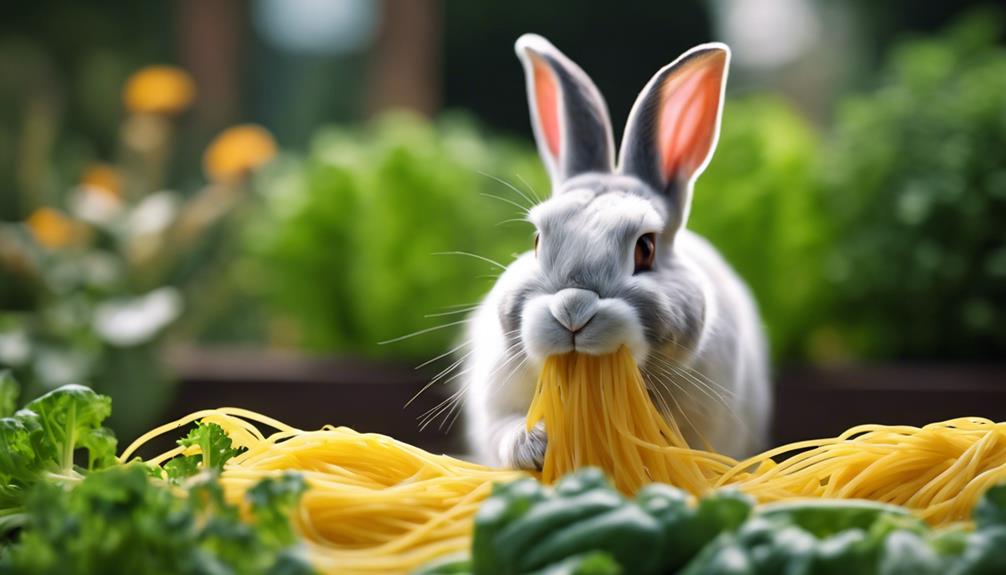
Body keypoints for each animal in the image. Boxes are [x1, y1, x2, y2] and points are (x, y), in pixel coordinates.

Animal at [462, 34, 771, 471]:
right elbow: (505, 431)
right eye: (537, 241)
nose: (573, 309)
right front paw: (537, 445)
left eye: (645, 248)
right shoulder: (496, 400)